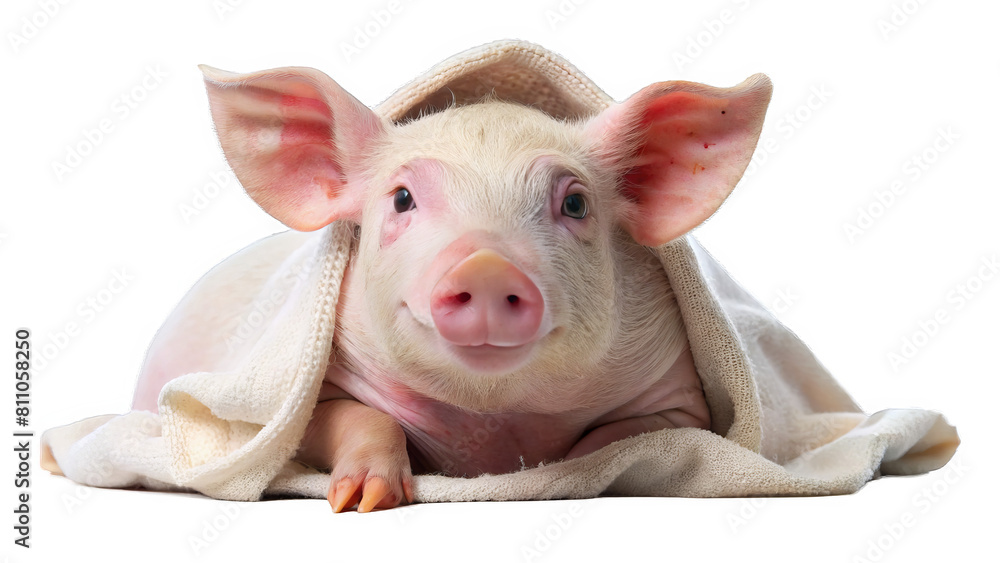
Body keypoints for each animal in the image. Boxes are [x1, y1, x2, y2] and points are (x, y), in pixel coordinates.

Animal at [132, 64, 771, 512]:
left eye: (575, 203)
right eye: (402, 199)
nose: (487, 266)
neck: (491, 415)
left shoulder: (679, 393)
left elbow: (630, 438)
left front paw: (561, 474)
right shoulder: (306, 389)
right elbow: (350, 416)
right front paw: (360, 500)